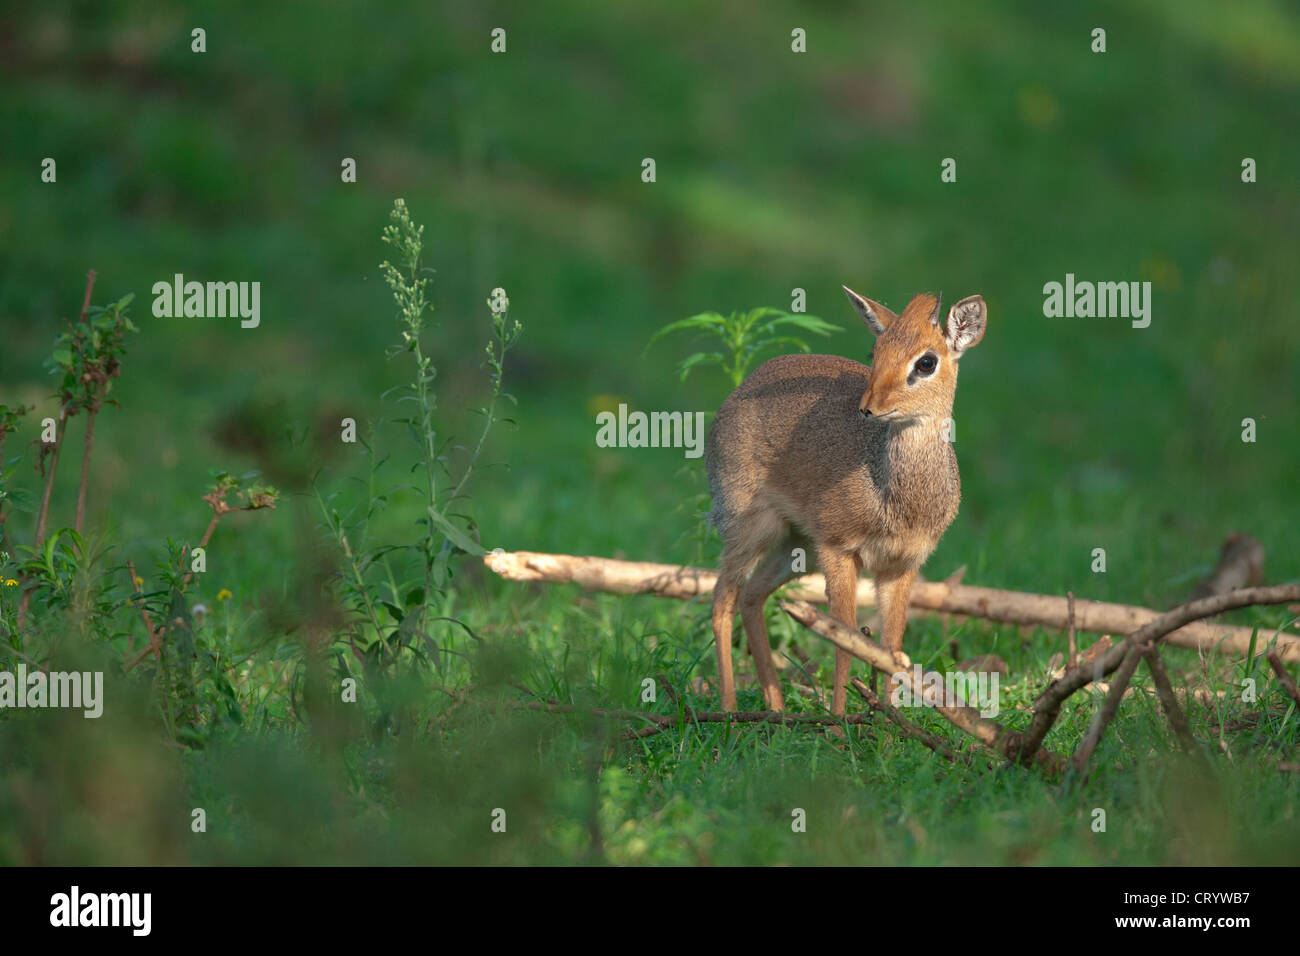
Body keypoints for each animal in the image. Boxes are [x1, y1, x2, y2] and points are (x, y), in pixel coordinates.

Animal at [705, 287, 987, 713]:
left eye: (927, 361)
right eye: (875, 351)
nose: (869, 407)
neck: (897, 500)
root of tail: (739, 390)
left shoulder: (902, 565)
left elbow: (892, 646)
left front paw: (887, 723)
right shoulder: (838, 549)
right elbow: (844, 639)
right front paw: (839, 723)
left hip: (797, 546)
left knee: (752, 595)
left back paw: (777, 708)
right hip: (751, 527)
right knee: (722, 597)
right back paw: (730, 709)